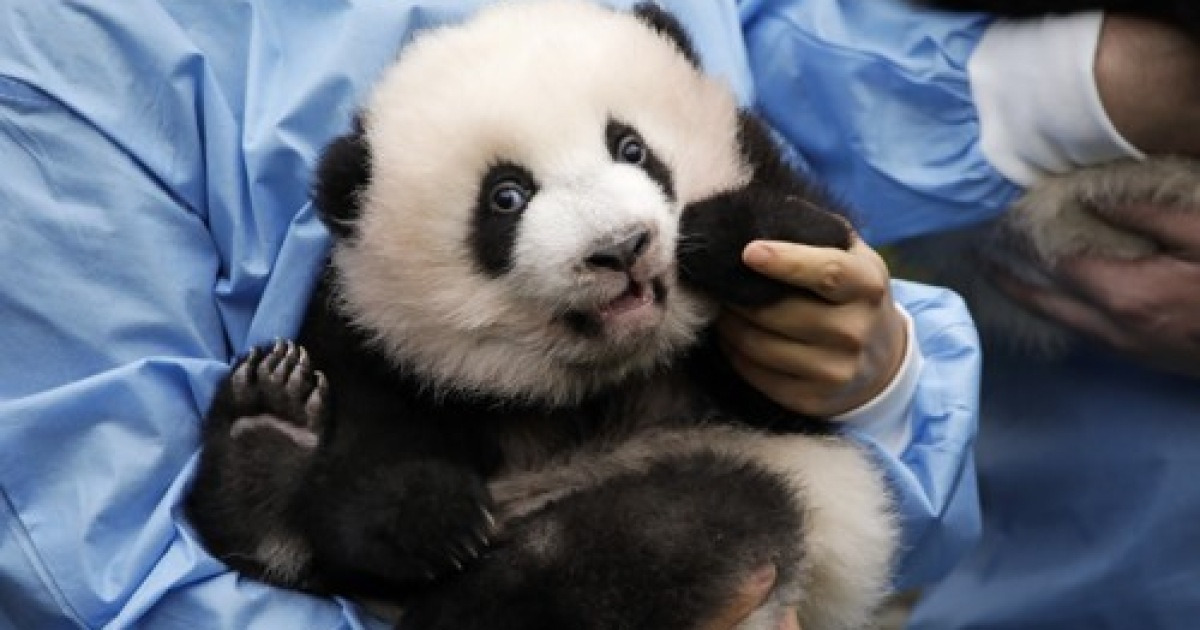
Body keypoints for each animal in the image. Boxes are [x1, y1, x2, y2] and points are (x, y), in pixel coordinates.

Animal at [185, 2, 896, 629]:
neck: (597, 379)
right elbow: (370, 434)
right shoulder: (373, 328)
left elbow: (802, 267)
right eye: (507, 197)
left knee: (666, 529)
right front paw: (428, 516)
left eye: (631, 148)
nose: (622, 247)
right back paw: (266, 436)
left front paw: (726, 236)